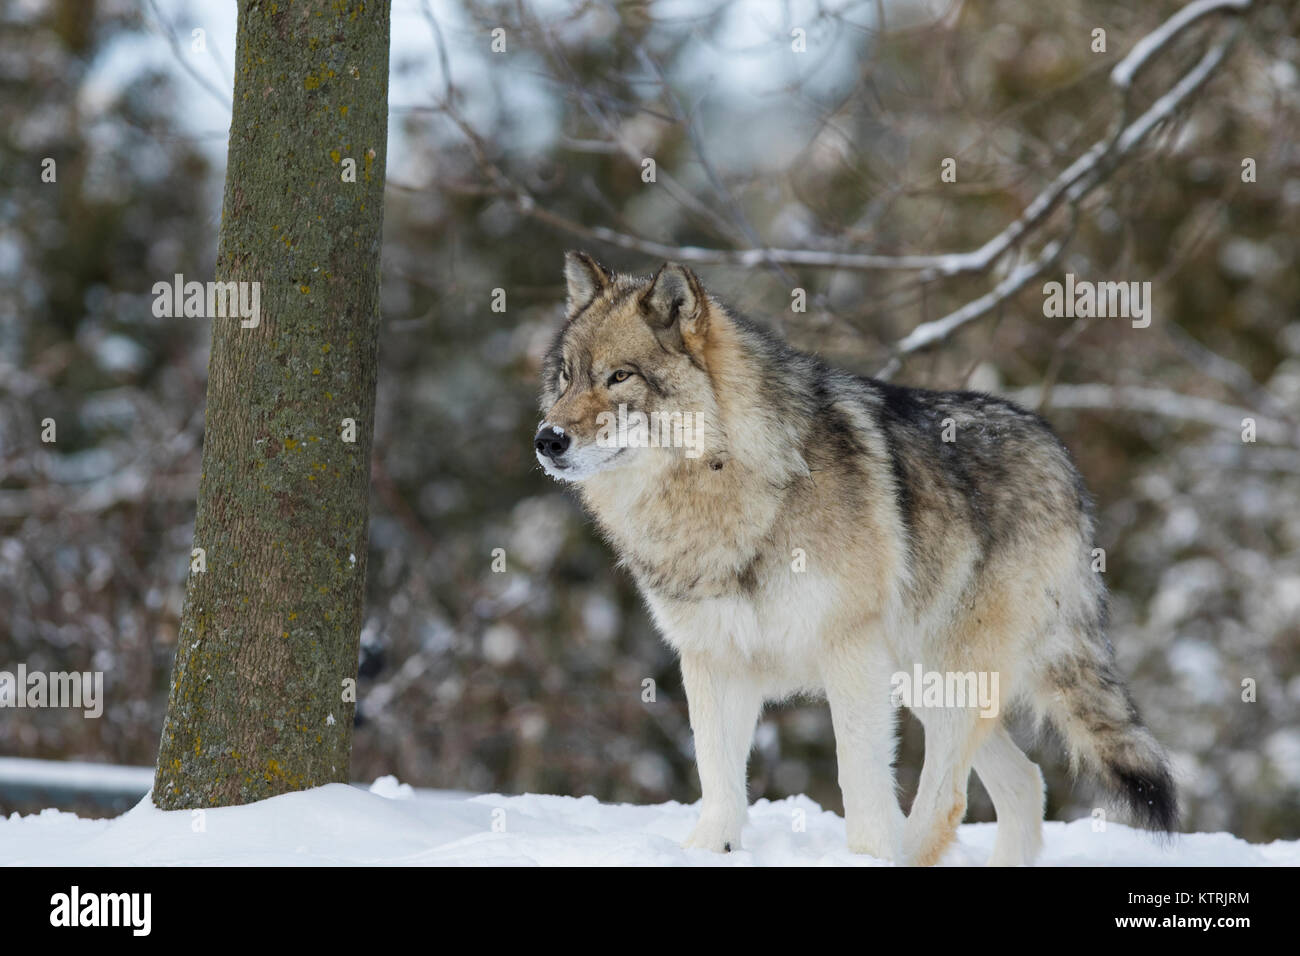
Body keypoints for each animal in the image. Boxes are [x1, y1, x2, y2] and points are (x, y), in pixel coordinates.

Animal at [535, 251, 1177, 865]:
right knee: (1025, 783)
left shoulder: (850, 653)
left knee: (950, 797)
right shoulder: (713, 660)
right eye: (565, 377)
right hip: (926, 679)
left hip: (949, 674)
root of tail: (1059, 455)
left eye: (619, 376)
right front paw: (705, 853)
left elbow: (861, 783)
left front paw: (864, 856)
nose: (546, 439)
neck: (726, 492)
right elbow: (719, 783)